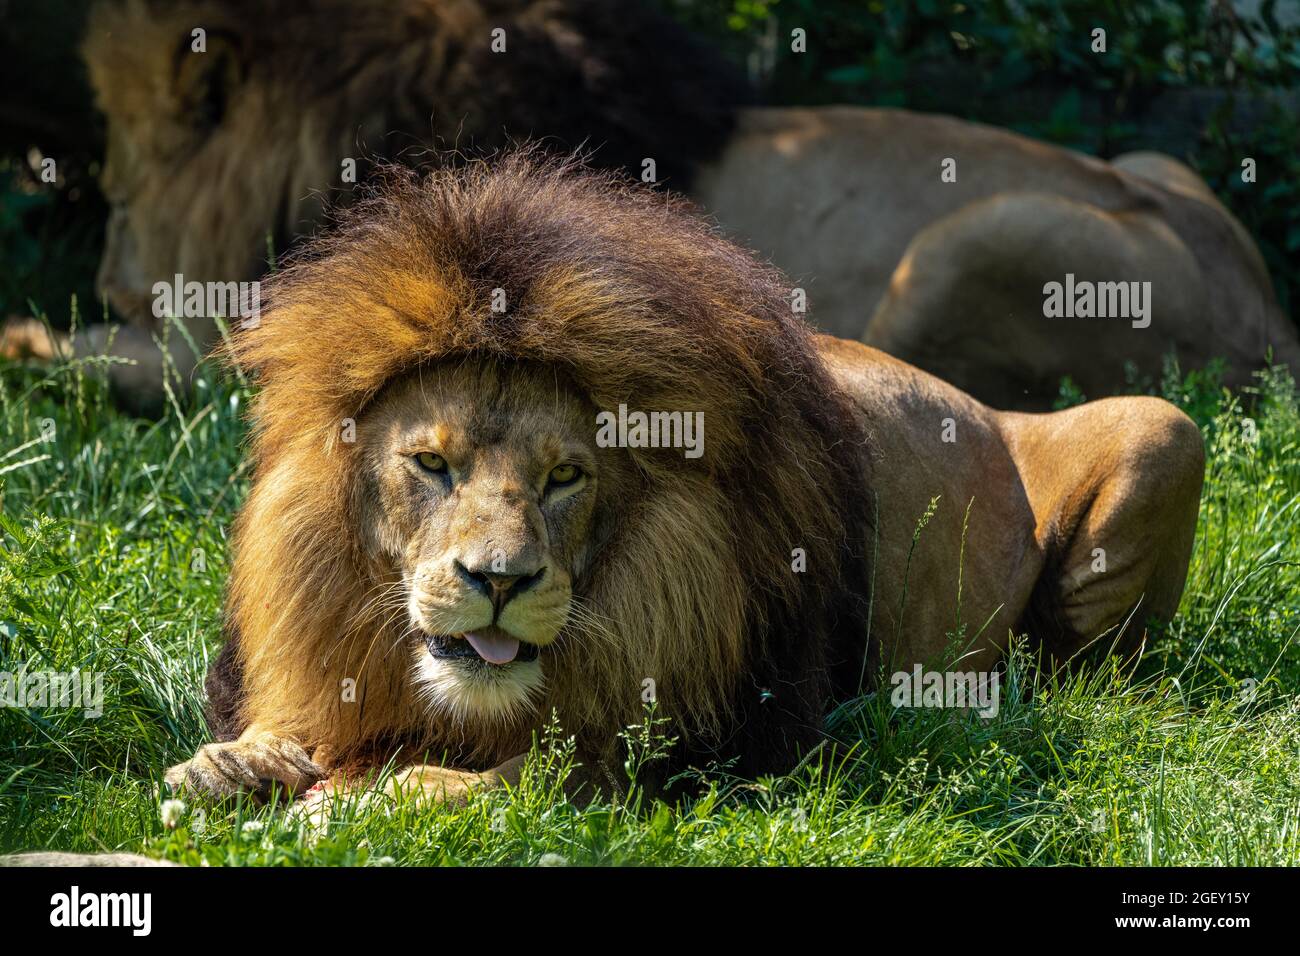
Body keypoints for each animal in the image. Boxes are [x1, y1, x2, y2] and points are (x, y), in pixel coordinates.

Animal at [162, 154, 1204, 811]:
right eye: (431, 464)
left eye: (565, 477)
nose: (499, 581)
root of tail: (992, 409)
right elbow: (276, 732)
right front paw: (232, 767)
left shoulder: (745, 745)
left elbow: (557, 770)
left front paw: (392, 792)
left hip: (1166, 432)